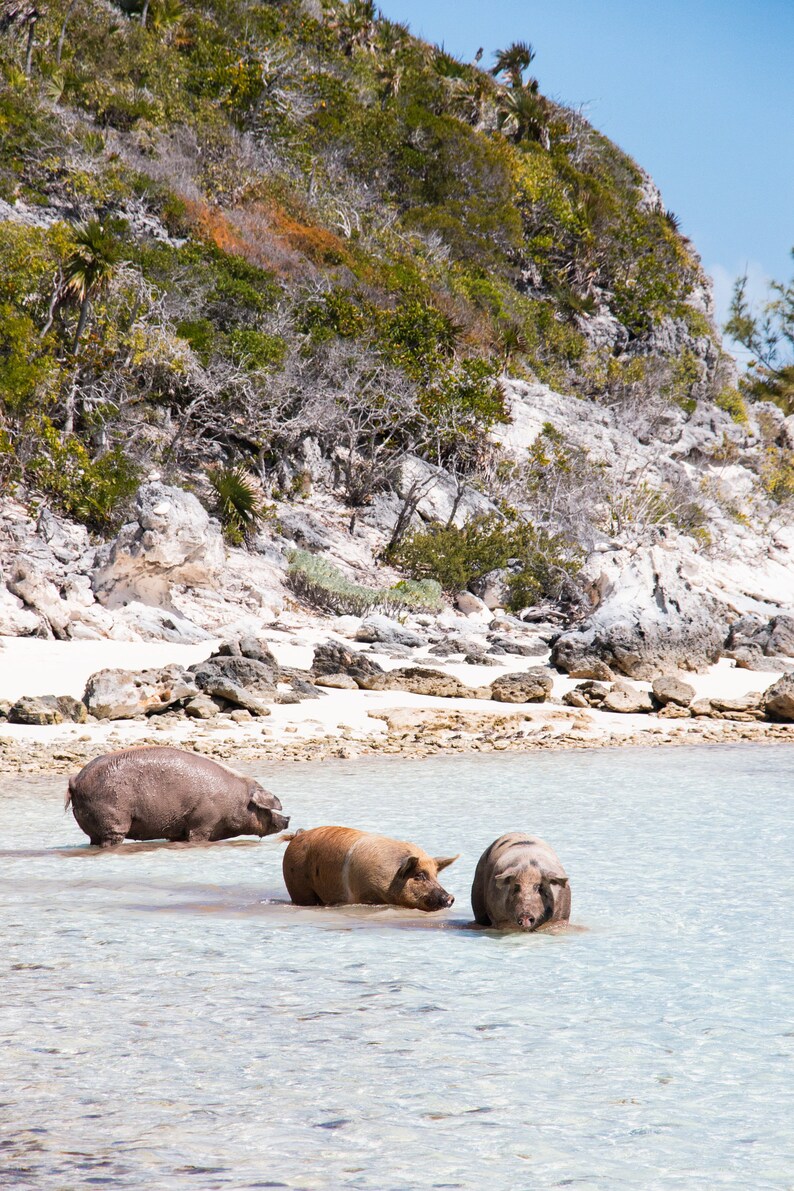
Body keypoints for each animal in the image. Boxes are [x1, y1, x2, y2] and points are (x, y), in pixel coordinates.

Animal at [66, 746, 289, 846]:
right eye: (264, 808)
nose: (287, 819)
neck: (233, 800)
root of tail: (75, 781)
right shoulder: (202, 822)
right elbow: (198, 837)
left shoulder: (178, 830)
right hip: (113, 818)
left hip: (92, 828)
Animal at [282, 826, 458, 911]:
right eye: (419, 875)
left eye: (436, 876)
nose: (450, 897)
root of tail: (296, 836)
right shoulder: (365, 895)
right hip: (297, 885)